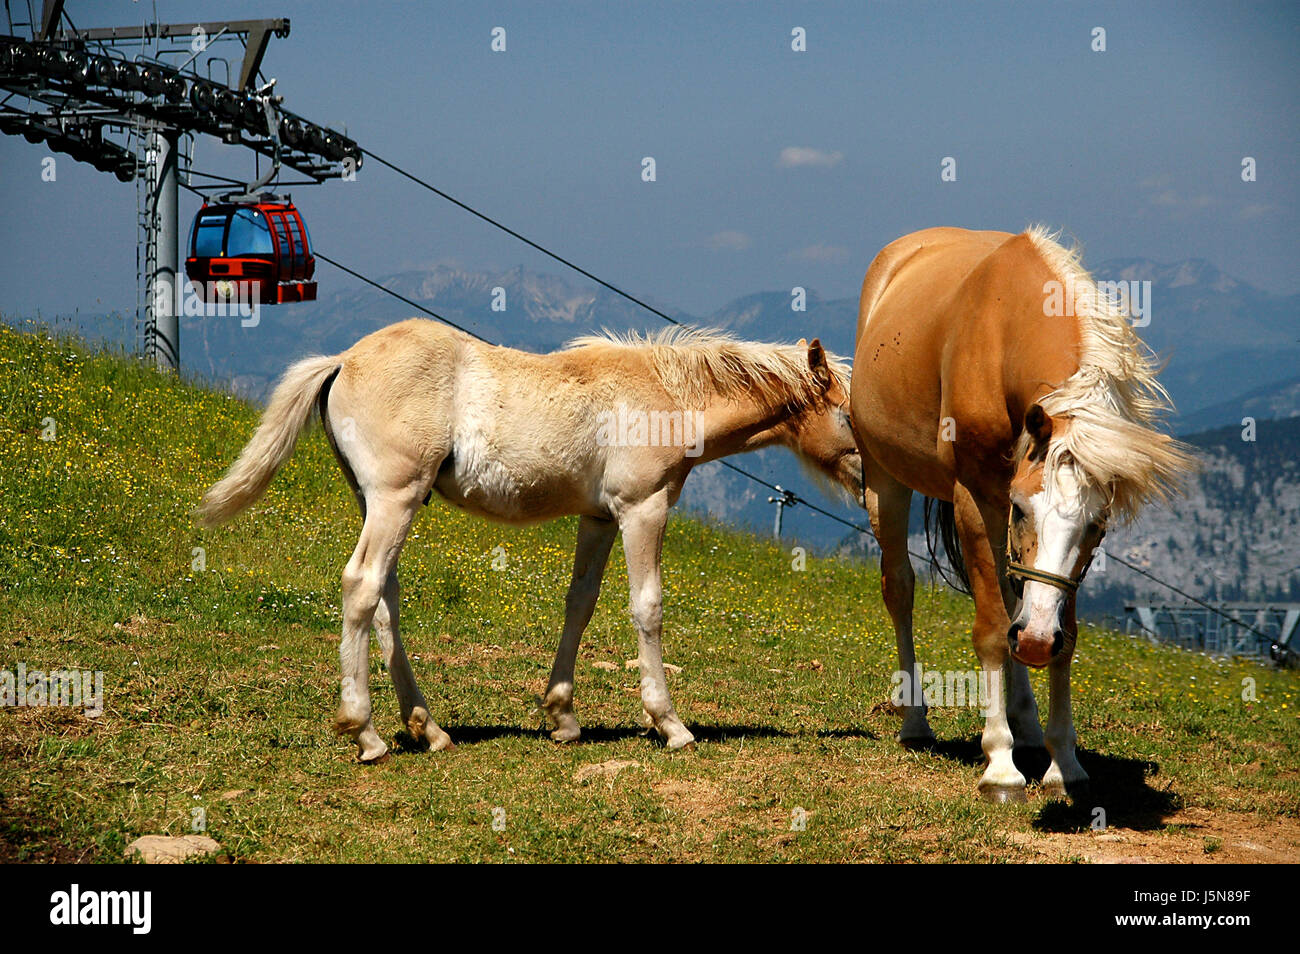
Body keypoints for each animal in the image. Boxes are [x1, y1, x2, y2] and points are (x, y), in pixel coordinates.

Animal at [197, 319, 862, 761]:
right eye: (848, 414)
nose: (868, 480)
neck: (667, 397)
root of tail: (343, 360)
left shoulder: (599, 518)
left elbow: (580, 604)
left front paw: (562, 716)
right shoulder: (642, 509)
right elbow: (647, 608)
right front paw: (670, 724)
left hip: (378, 502)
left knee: (383, 598)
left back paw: (428, 729)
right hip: (394, 498)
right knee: (361, 586)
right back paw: (366, 732)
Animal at [849, 226, 1192, 802]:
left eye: (1098, 525)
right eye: (1020, 507)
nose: (1035, 641)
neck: (1001, 334)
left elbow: (1060, 634)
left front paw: (1062, 762)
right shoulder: (977, 500)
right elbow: (991, 628)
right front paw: (1000, 766)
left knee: (1016, 601)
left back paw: (1026, 722)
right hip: (884, 480)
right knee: (900, 589)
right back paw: (917, 722)